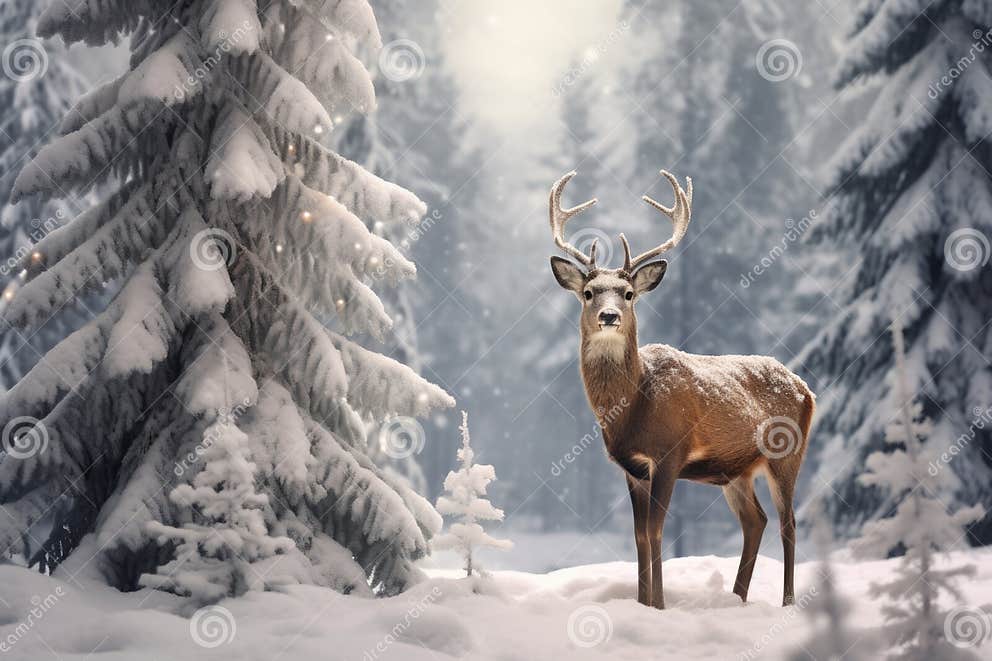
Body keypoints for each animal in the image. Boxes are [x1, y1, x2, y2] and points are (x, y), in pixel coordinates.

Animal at [547, 170, 815, 610]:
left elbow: (656, 532)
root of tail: (806, 389)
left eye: (628, 294)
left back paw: (787, 602)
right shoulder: (632, 467)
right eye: (588, 293)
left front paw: (658, 605)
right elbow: (639, 537)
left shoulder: (670, 452)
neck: (635, 403)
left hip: (787, 453)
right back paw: (736, 598)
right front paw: (642, 604)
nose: (609, 316)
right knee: (756, 521)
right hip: (737, 470)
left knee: (788, 522)